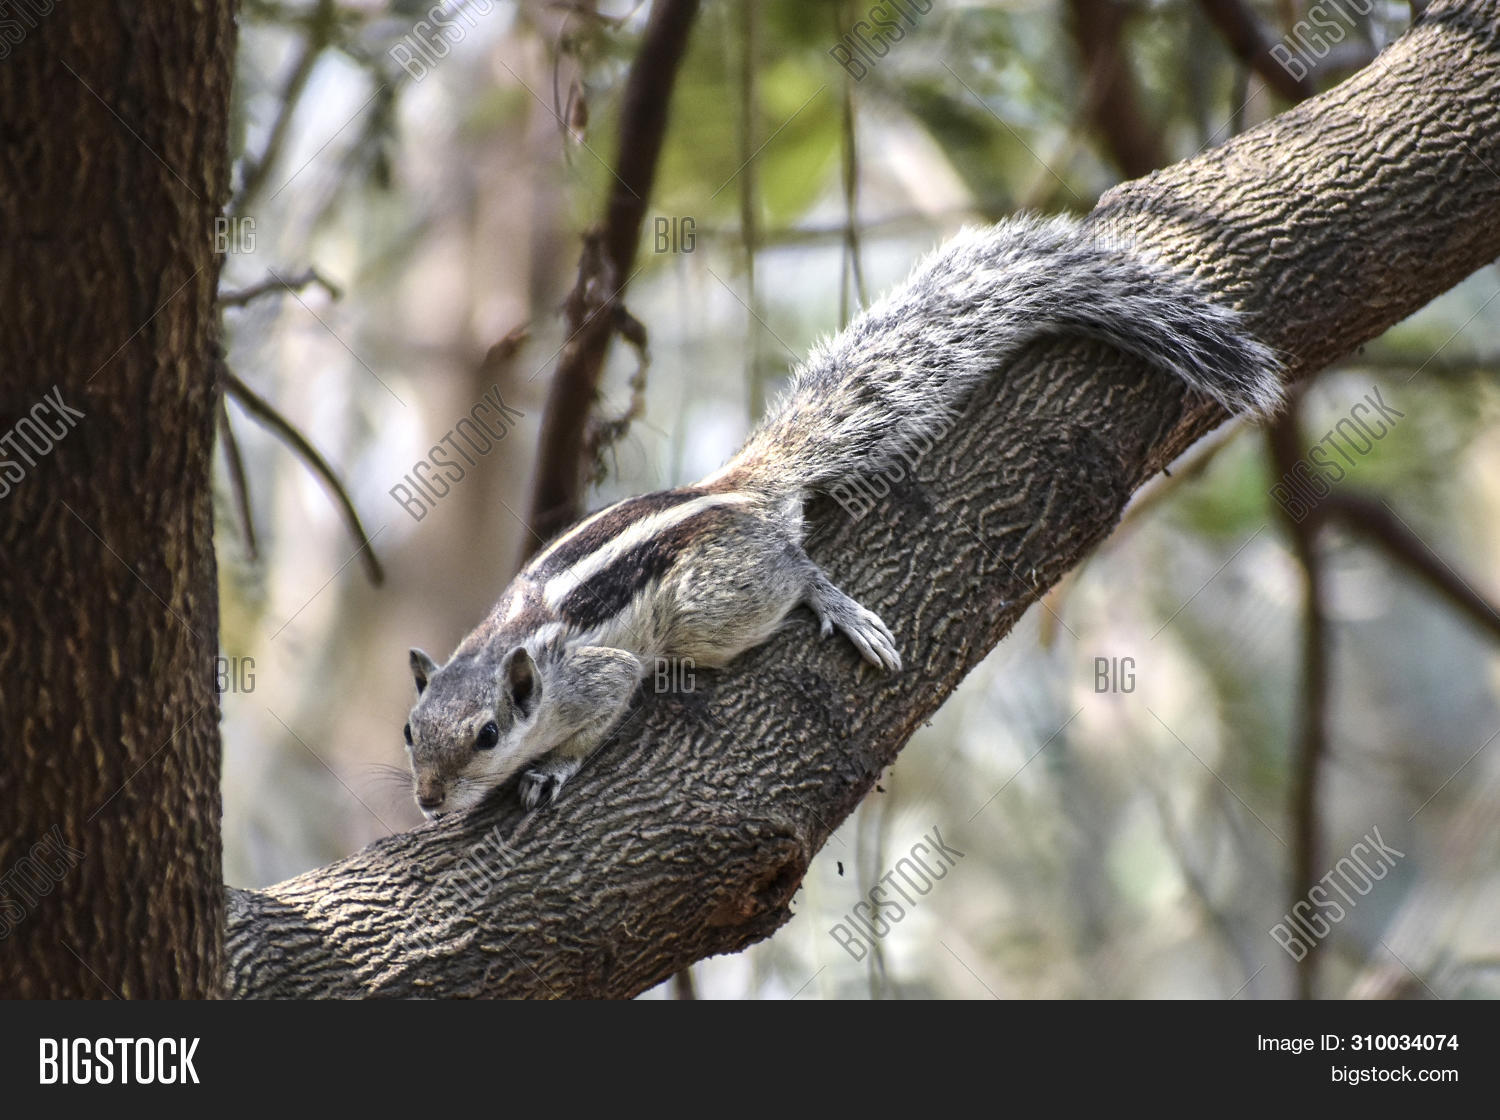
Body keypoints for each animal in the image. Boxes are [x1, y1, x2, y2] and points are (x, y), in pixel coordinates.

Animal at [402, 214, 1281, 818]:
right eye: (410, 732)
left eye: (488, 734)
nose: (427, 801)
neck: (508, 653)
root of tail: (744, 491)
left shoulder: (598, 676)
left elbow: (594, 721)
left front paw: (551, 769)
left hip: (712, 605)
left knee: (794, 570)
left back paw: (835, 603)